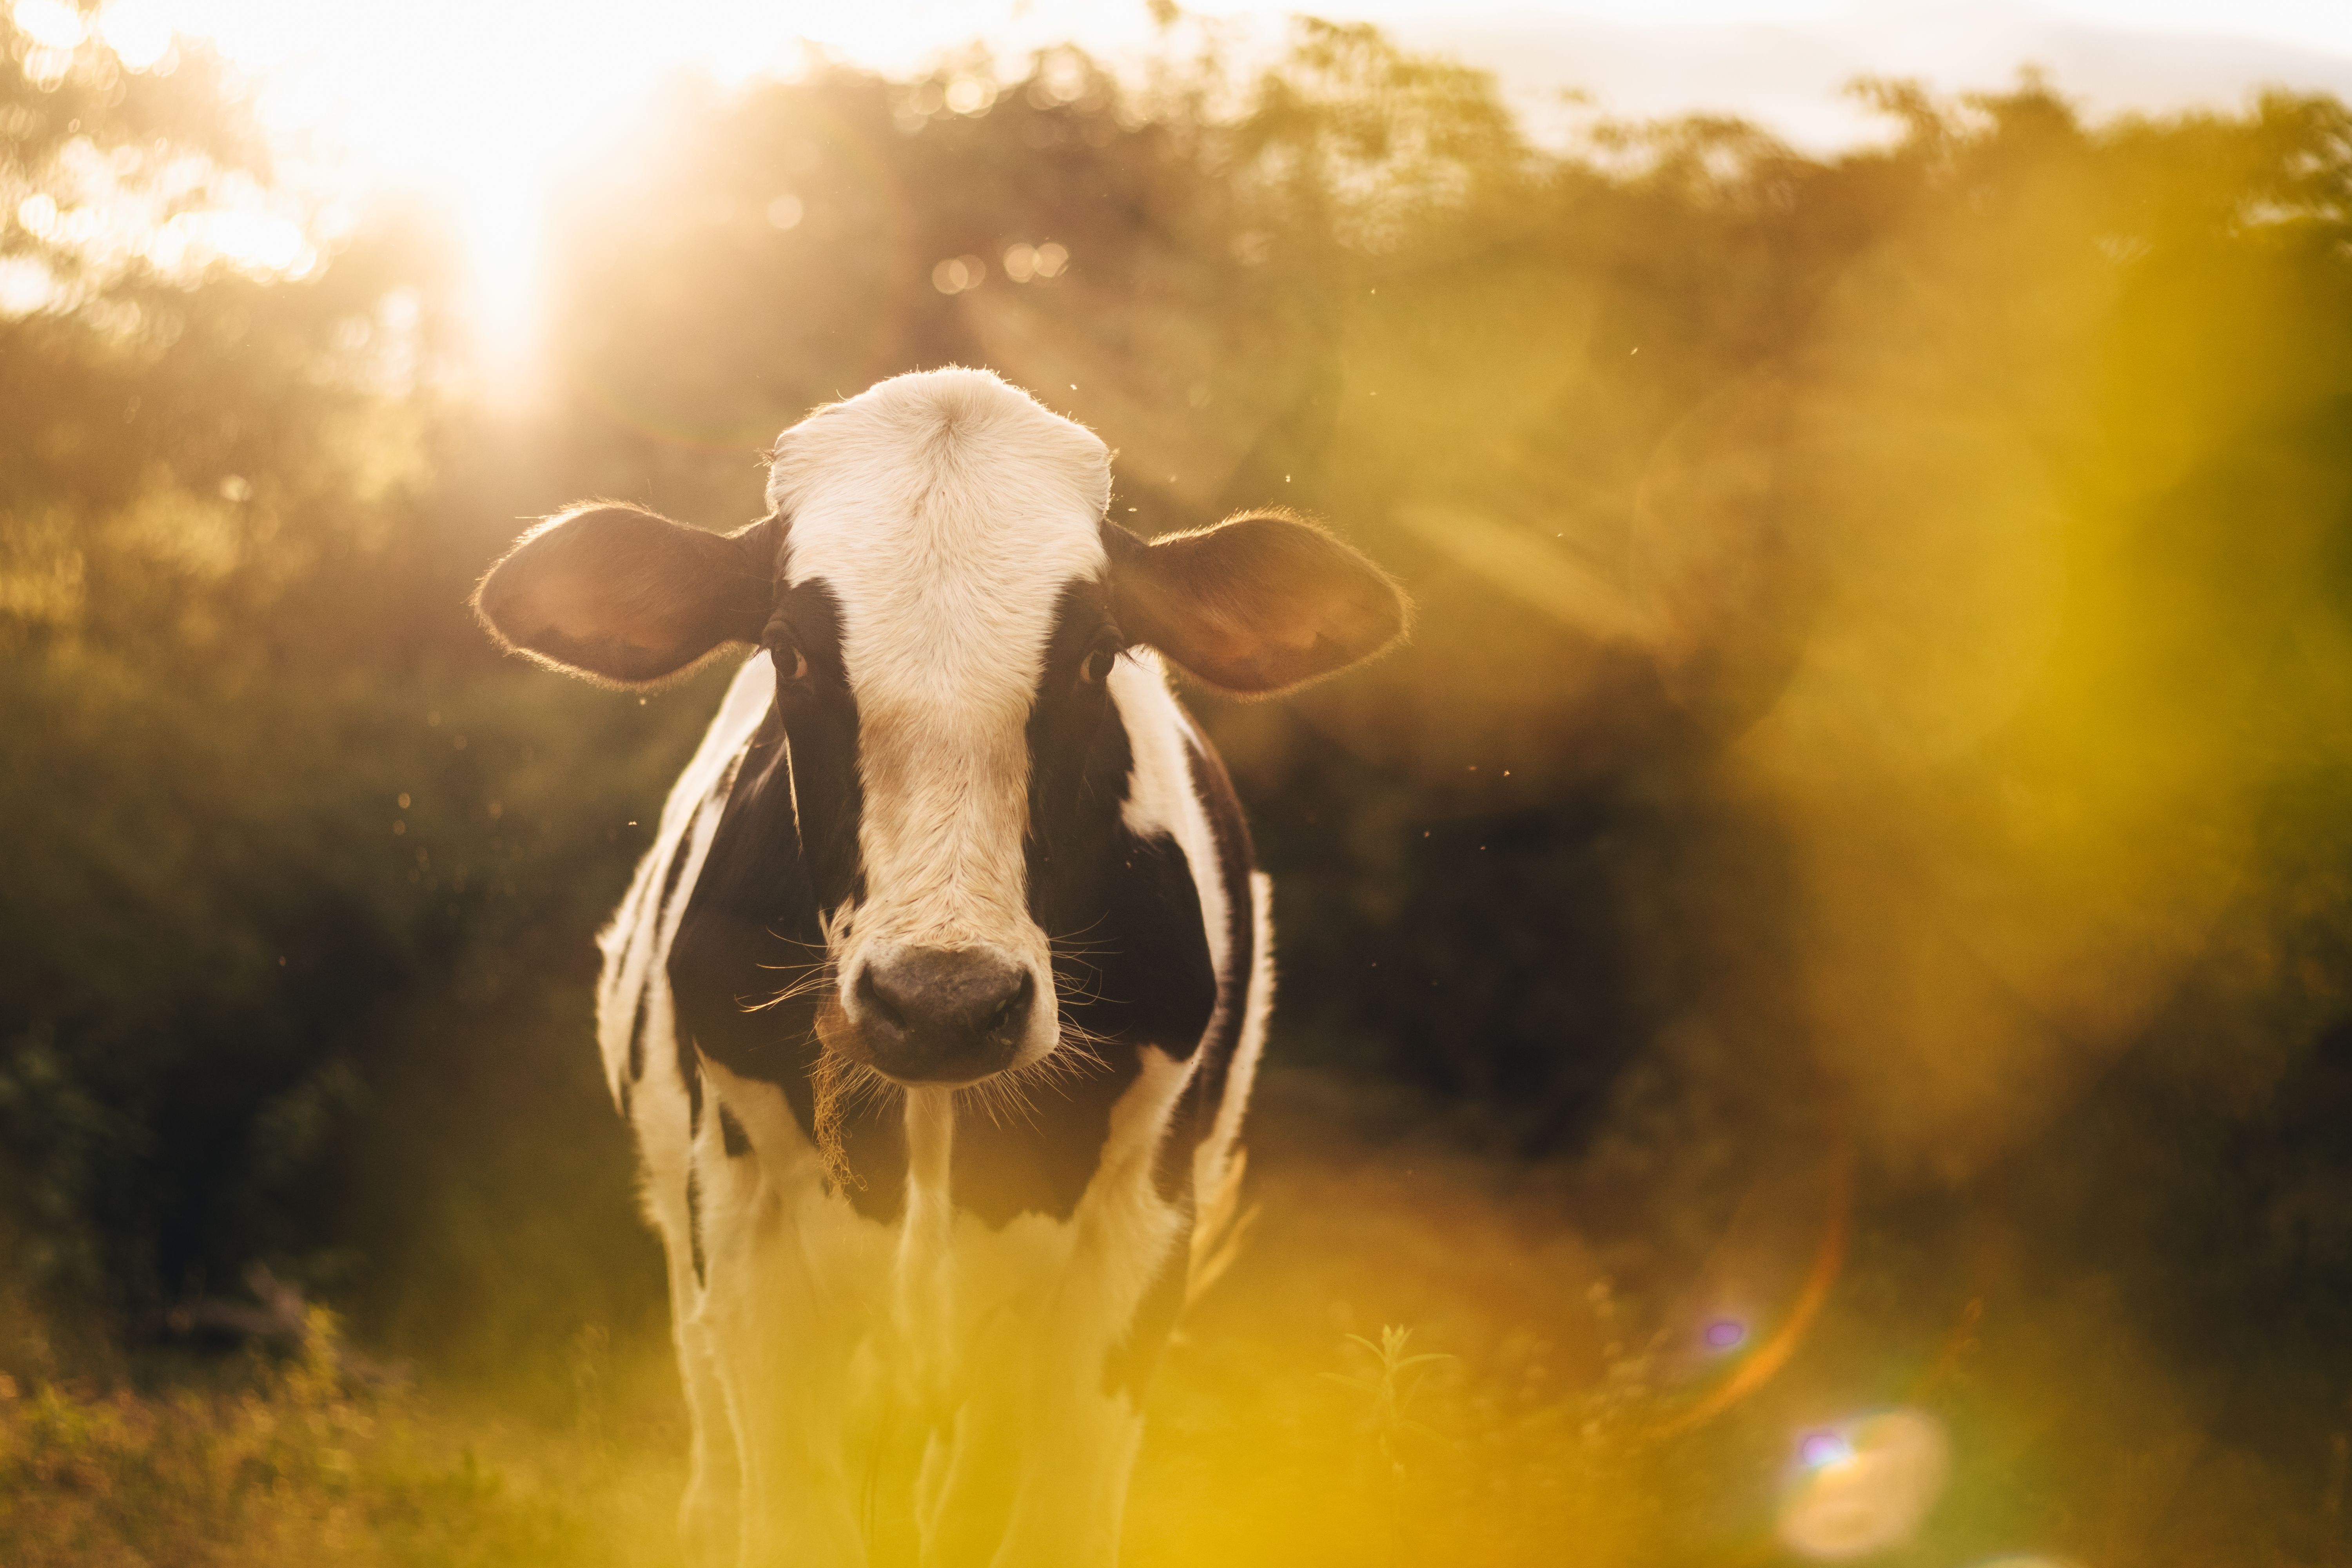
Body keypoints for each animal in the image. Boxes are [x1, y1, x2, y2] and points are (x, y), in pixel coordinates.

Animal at [472, 367, 1408, 1567]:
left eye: (1098, 652)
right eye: (789, 650)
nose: (944, 1004)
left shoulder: (1142, 1234)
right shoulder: (743, 1226)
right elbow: (791, 1519)